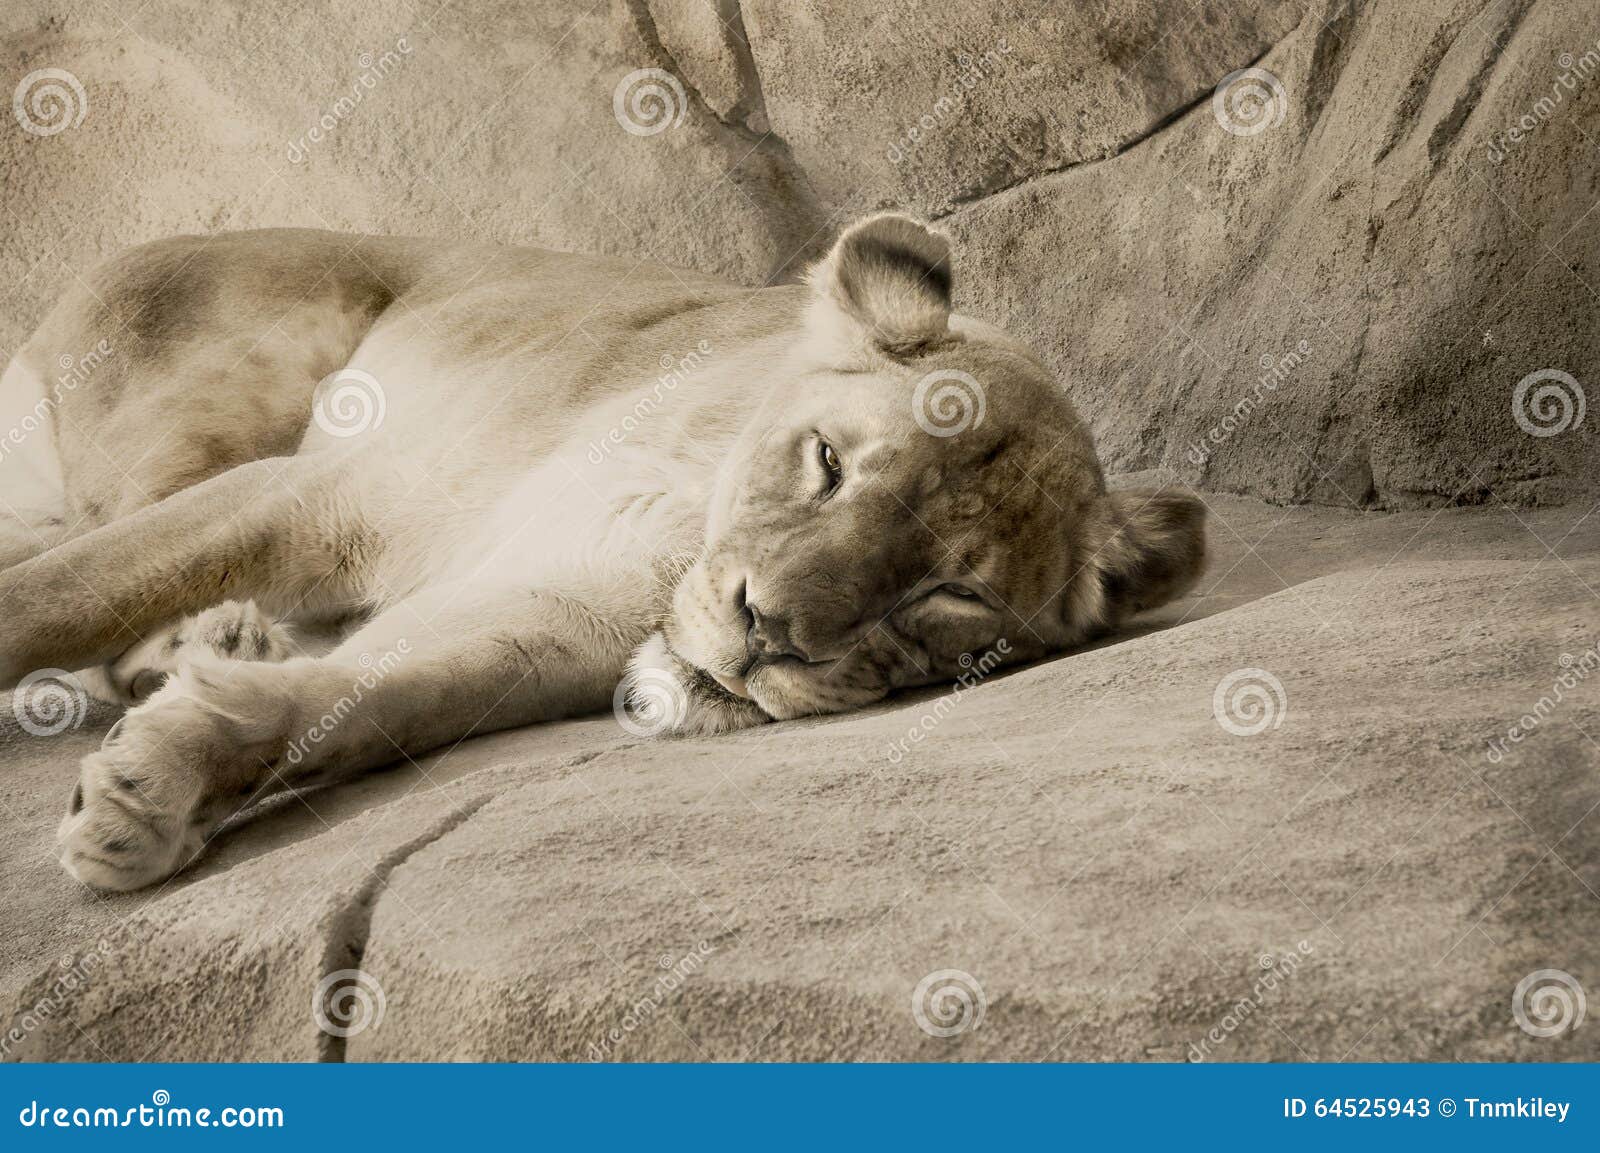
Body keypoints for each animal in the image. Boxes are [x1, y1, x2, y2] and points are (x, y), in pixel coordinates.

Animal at [0, 214, 1205, 890]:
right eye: (827, 462)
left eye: (948, 596)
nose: (767, 631)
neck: (680, 524)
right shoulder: (313, 495)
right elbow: (60, 594)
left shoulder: (536, 619)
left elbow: (356, 704)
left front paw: (160, 788)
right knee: (96, 540)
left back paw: (212, 648)